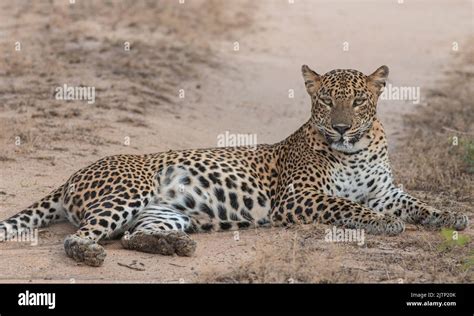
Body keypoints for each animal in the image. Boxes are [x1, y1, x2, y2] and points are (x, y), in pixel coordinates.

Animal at [0, 65, 466, 266]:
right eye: (326, 100)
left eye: (357, 101)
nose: (340, 128)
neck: (358, 149)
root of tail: (70, 176)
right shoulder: (298, 199)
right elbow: (349, 206)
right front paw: (383, 223)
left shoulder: (386, 191)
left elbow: (417, 203)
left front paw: (451, 216)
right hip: (129, 192)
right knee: (77, 238)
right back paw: (91, 254)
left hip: (164, 212)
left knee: (132, 237)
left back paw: (175, 246)